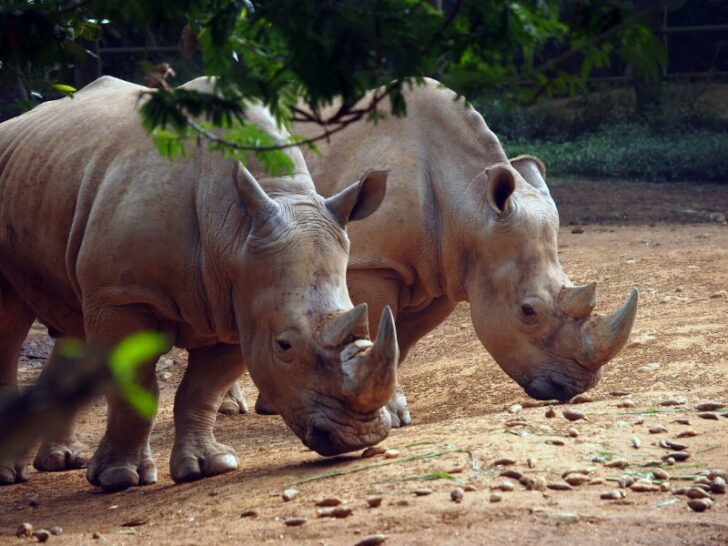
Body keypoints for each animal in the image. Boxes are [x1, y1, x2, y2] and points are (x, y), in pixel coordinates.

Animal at [0, 76, 399, 492]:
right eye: (284, 346)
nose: (361, 437)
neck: (236, 227)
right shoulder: (125, 297)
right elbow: (135, 388)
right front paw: (119, 478)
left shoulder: (240, 301)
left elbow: (202, 390)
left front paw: (211, 466)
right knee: (9, 324)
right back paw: (10, 474)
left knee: (70, 323)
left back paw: (63, 461)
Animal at [224, 78, 638, 423]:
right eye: (528, 311)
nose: (578, 386)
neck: (470, 206)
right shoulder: (371, 263)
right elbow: (377, 324)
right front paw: (390, 412)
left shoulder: (444, 271)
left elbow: (400, 340)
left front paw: (393, 405)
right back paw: (234, 408)